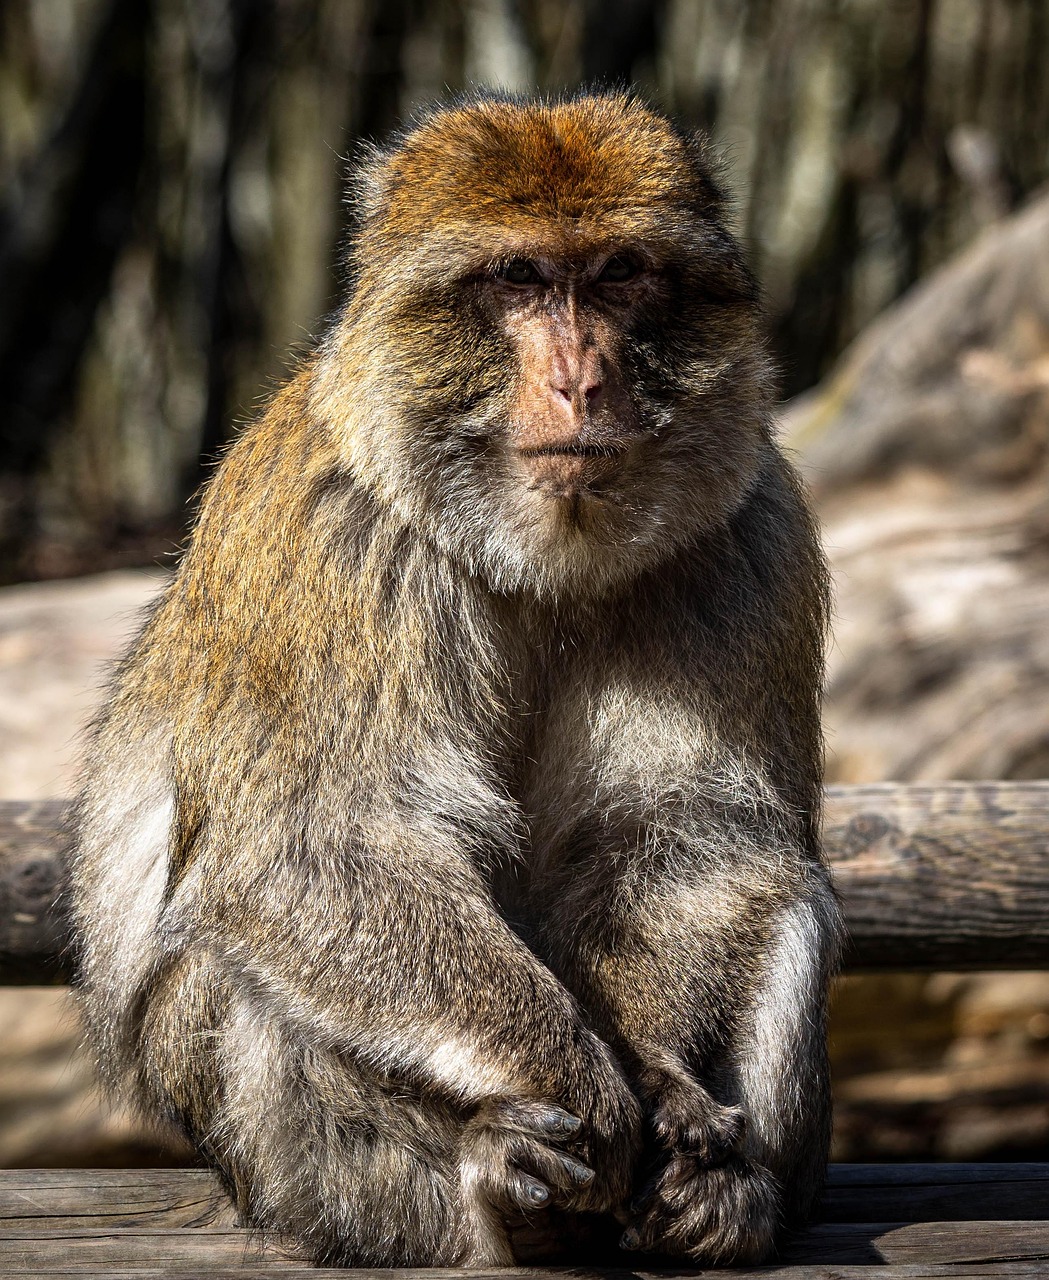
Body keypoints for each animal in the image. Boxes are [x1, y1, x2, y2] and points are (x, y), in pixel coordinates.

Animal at [69, 91, 839, 1269]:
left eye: (617, 273)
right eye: (517, 278)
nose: (582, 379)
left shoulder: (746, 539)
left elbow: (683, 837)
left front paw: (664, 1085)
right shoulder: (330, 534)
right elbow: (316, 847)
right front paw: (577, 1080)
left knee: (779, 885)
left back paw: (730, 1200)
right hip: (286, 1172)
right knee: (243, 970)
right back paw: (503, 1186)